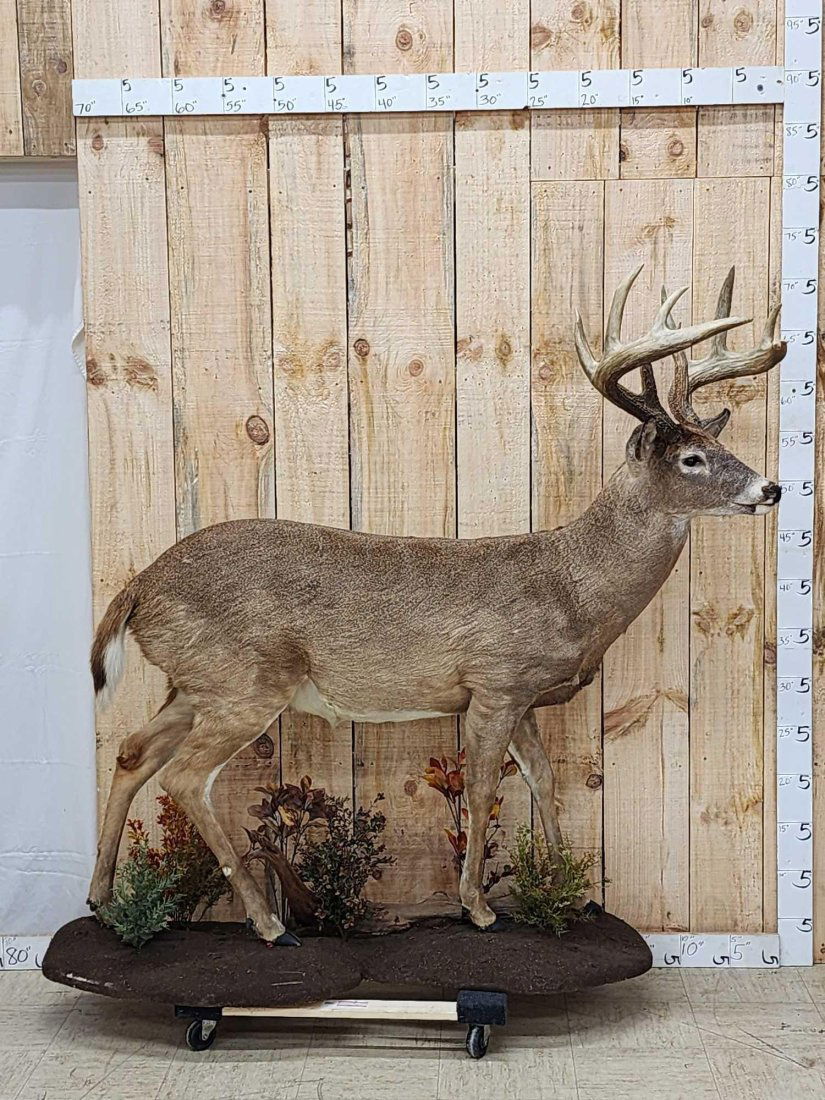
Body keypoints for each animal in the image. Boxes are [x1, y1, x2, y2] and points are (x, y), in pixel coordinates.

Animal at [87, 265, 785, 946]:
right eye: (692, 458)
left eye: (719, 448)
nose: (770, 487)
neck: (572, 589)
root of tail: (140, 587)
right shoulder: (495, 682)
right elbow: (481, 789)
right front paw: (478, 908)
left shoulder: (523, 697)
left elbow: (544, 780)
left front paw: (570, 891)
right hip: (247, 681)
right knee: (182, 776)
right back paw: (268, 924)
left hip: (194, 683)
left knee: (130, 751)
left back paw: (102, 900)